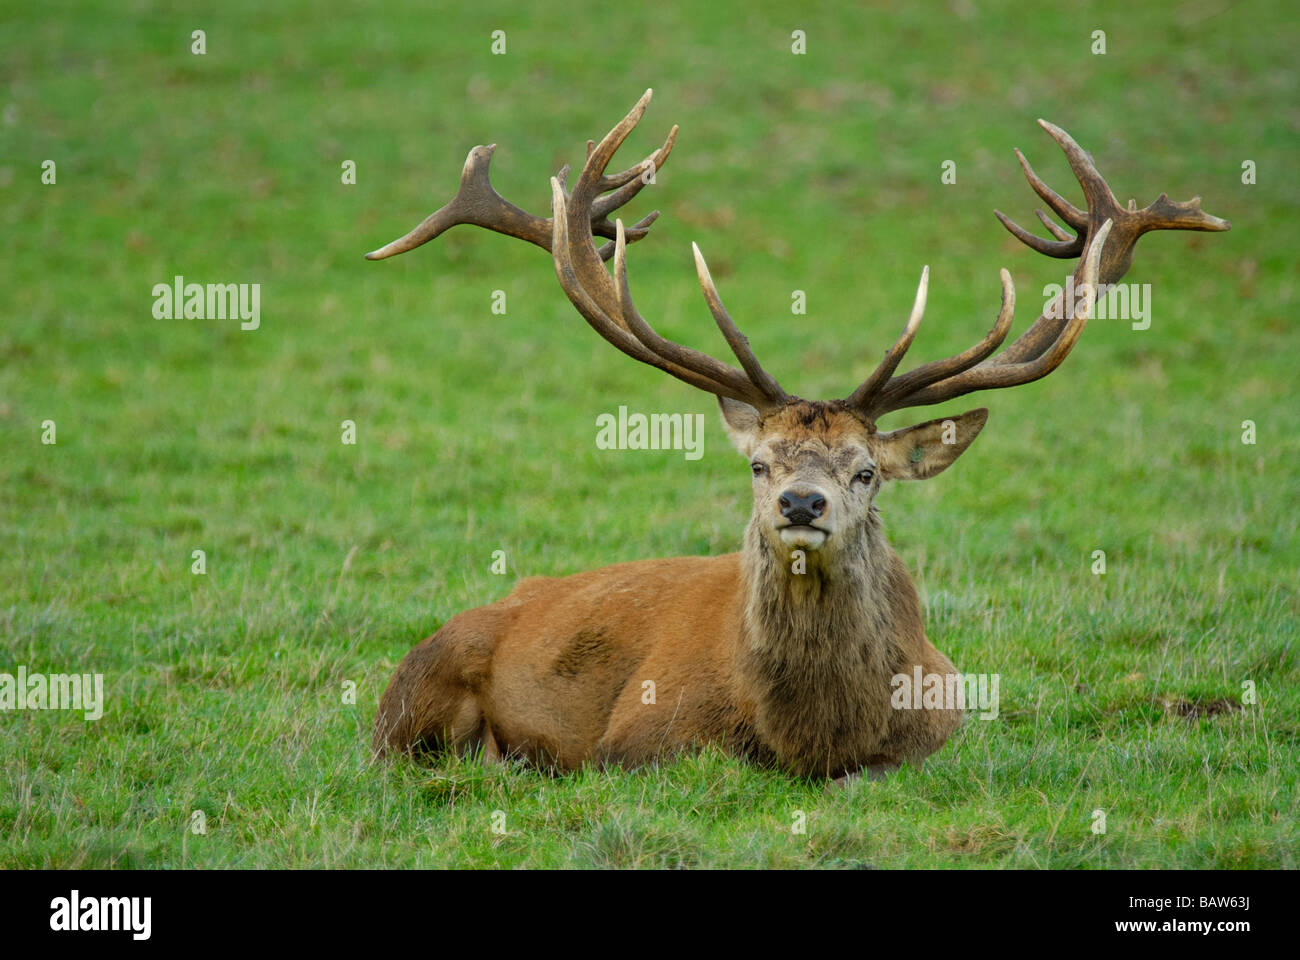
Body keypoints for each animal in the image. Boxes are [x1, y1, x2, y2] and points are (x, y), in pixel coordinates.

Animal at [365, 91, 1228, 780]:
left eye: (866, 471)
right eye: (758, 464)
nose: (802, 505)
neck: (813, 739)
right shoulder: (632, 743)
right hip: (412, 699)